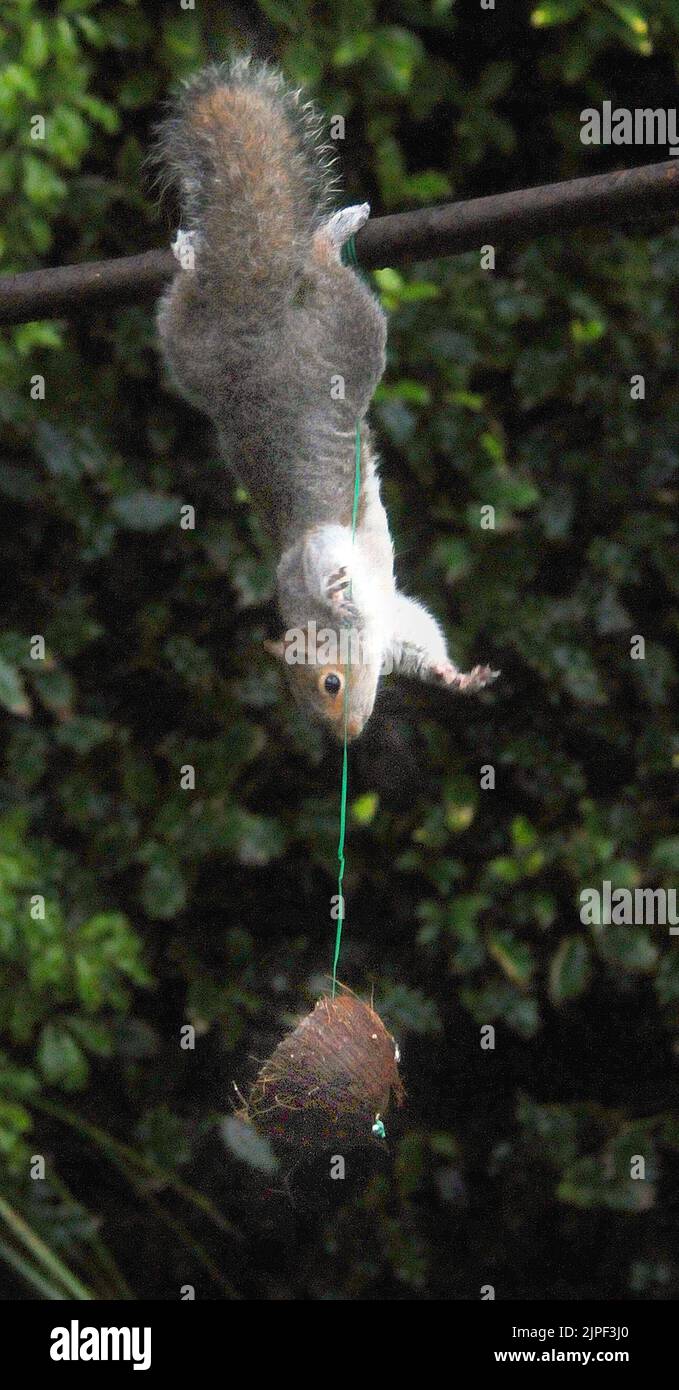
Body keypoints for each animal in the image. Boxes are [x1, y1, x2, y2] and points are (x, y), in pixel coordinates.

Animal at [155, 55, 498, 742]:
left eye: (330, 684)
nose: (350, 736)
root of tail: (251, 319)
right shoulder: (389, 621)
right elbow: (418, 640)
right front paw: (453, 678)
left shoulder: (321, 558)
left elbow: (331, 570)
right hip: (186, 340)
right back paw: (196, 249)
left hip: (350, 326)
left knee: (321, 267)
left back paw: (320, 235)